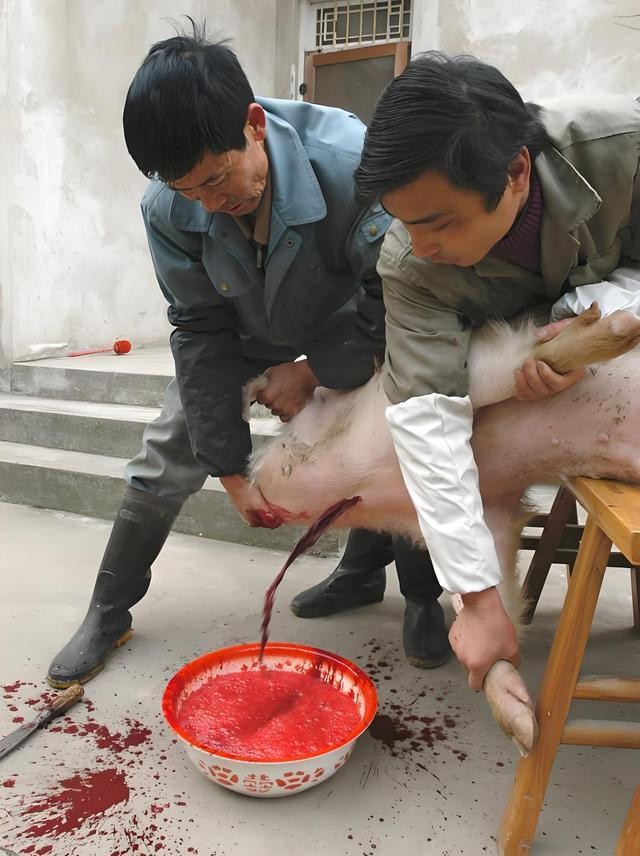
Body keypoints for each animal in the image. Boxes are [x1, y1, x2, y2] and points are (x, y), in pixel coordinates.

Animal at [248, 305, 640, 755]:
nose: (254, 504)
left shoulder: (430, 388)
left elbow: (526, 362)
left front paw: (623, 326)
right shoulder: (491, 516)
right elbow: (490, 597)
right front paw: (525, 732)